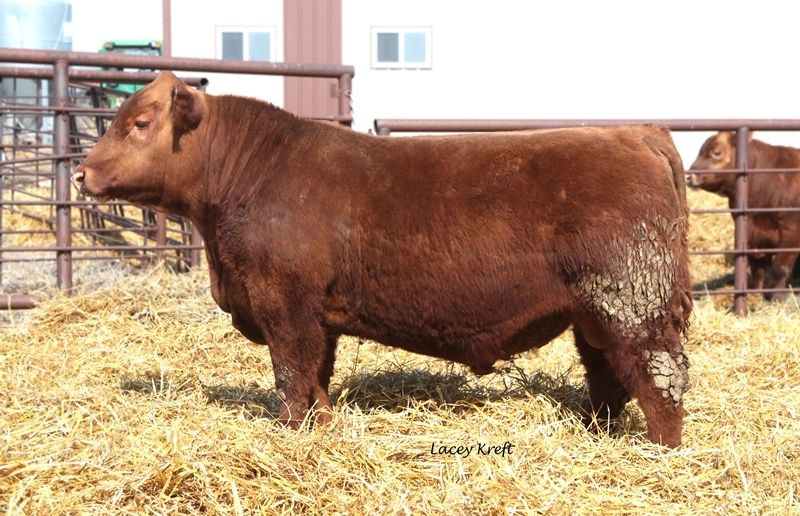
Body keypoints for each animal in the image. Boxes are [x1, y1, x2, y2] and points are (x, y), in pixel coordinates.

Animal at [73, 72, 692, 447]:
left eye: (140, 123)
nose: (81, 173)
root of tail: (635, 133)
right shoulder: (314, 315)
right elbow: (316, 378)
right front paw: (321, 427)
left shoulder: (284, 304)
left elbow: (291, 375)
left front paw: (291, 433)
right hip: (597, 313)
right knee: (609, 374)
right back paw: (599, 434)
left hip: (635, 305)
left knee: (661, 379)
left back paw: (659, 449)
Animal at [689, 131, 800, 300]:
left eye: (717, 152)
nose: (690, 176)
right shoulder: (753, 234)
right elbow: (758, 268)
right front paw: (755, 294)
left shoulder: (791, 231)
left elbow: (781, 266)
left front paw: (777, 297)